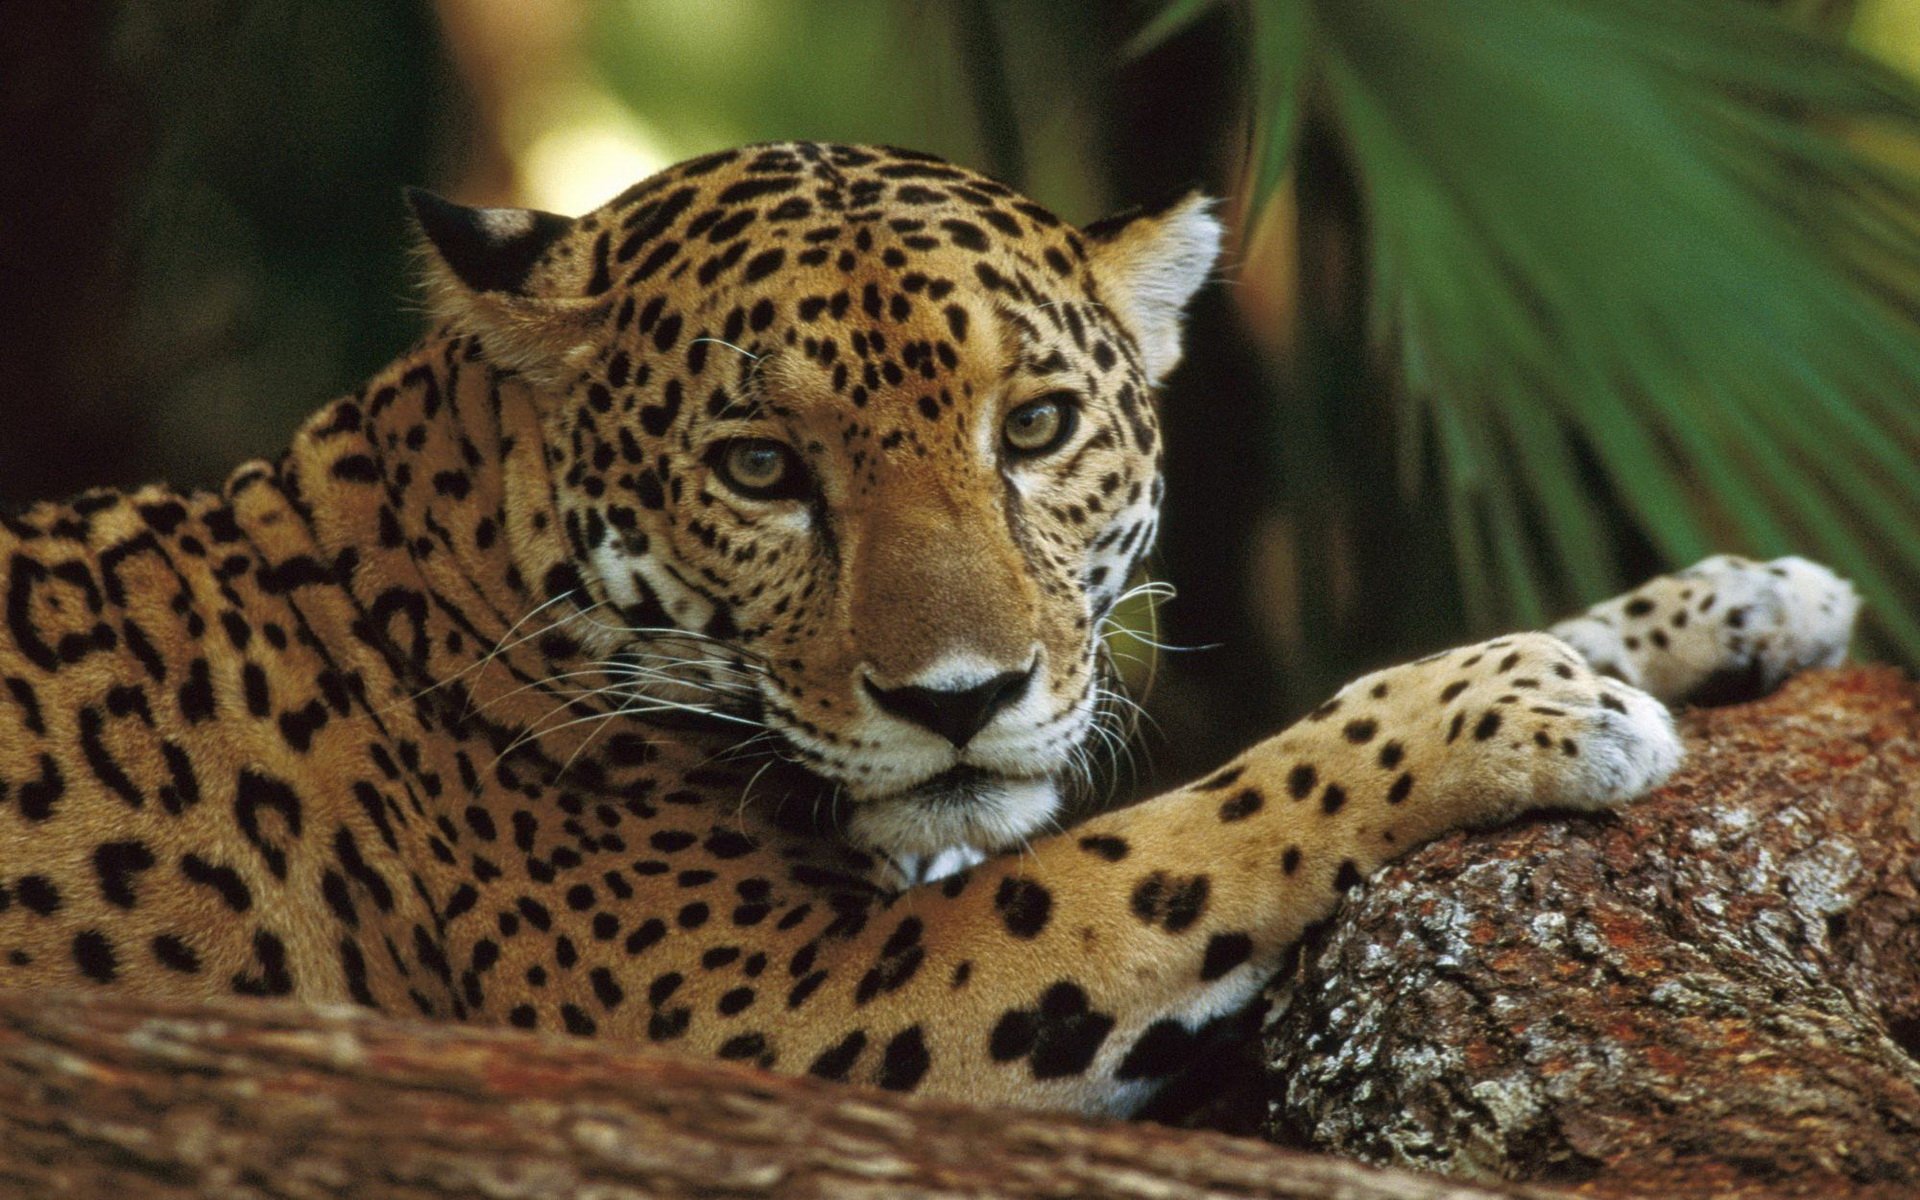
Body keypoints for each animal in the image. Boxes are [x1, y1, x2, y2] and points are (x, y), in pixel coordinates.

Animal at [0, 141, 1860, 1115]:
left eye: (1032, 429)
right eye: (759, 468)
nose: (960, 698)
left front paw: (1733, 601)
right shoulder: (765, 1011)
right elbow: (1209, 823)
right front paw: (1510, 707)